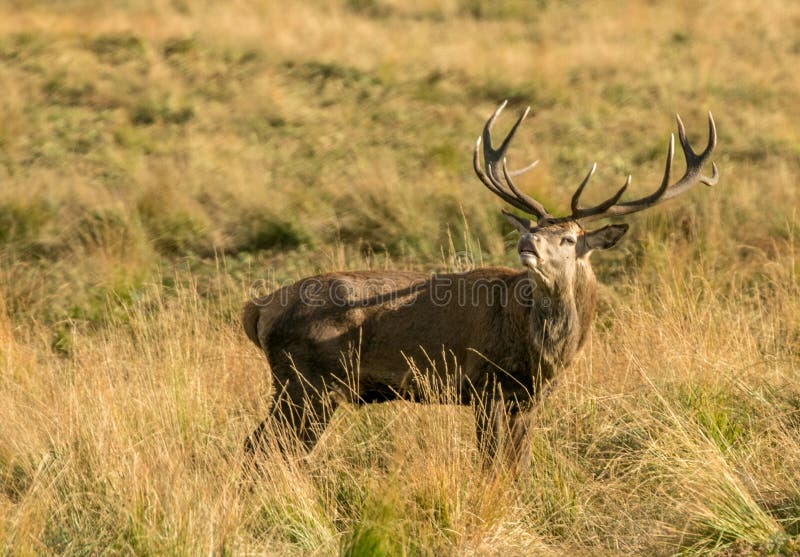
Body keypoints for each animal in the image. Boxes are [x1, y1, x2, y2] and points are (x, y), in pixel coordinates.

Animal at [242, 101, 718, 470]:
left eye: (569, 238)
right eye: (533, 228)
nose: (527, 243)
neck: (543, 351)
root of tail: (259, 309)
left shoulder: (529, 398)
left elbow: (517, 465)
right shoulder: (485, 385)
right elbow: (491, 465)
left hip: (304, 387)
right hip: (307, 382)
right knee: (261, 448)